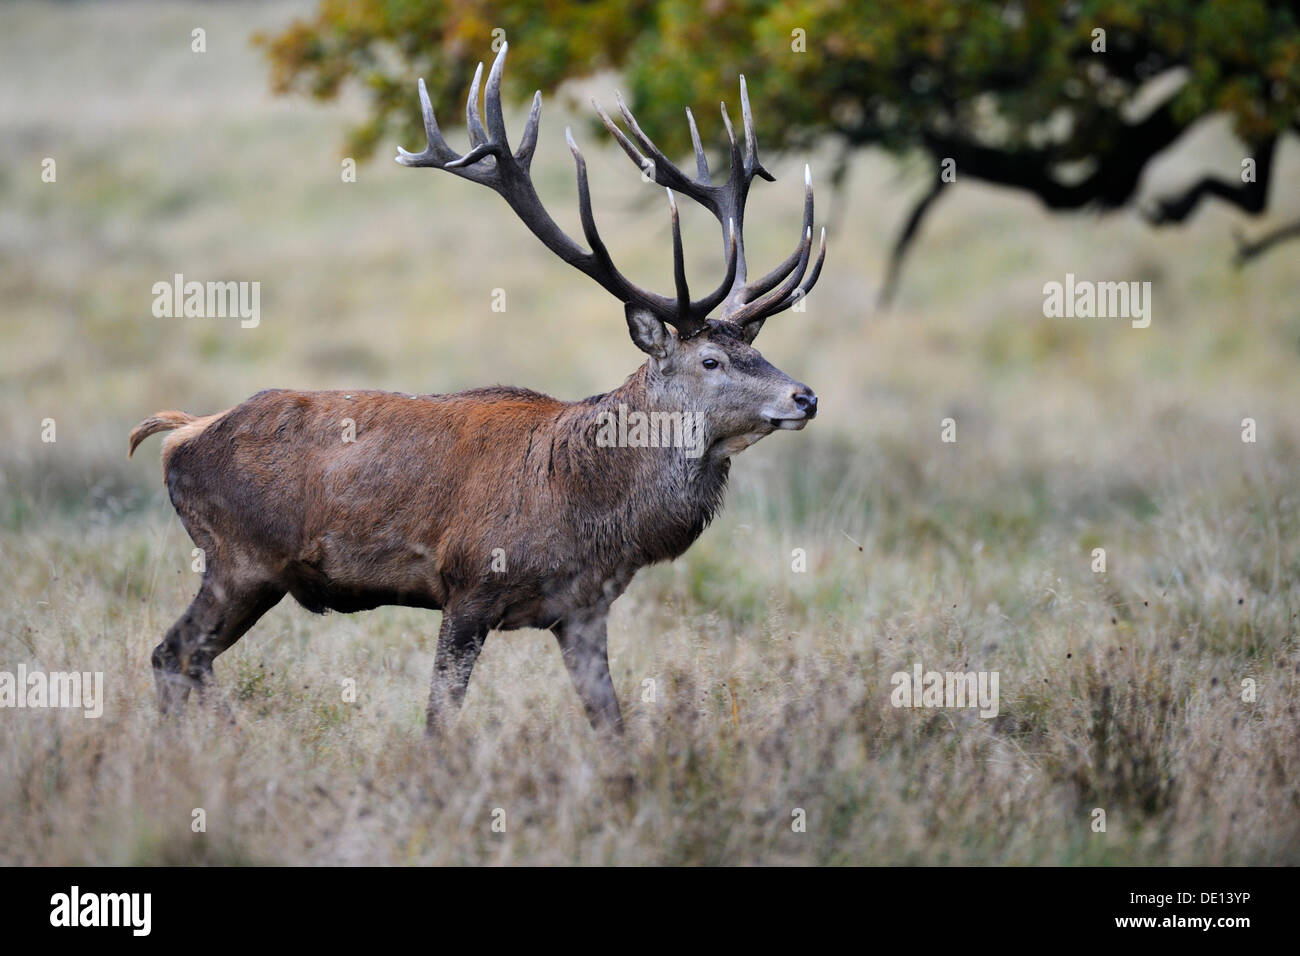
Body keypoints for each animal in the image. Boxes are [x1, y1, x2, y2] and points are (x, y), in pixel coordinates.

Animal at [128, 43, 825, 736]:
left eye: (756, 348)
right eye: (710, 360)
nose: (806, 397)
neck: (585, 505)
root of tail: (181, 434)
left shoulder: (583, 610)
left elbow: (611, 724)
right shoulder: (467, 586)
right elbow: (440, 718)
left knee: (180, 657)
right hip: (241, 558)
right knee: (175, 653)